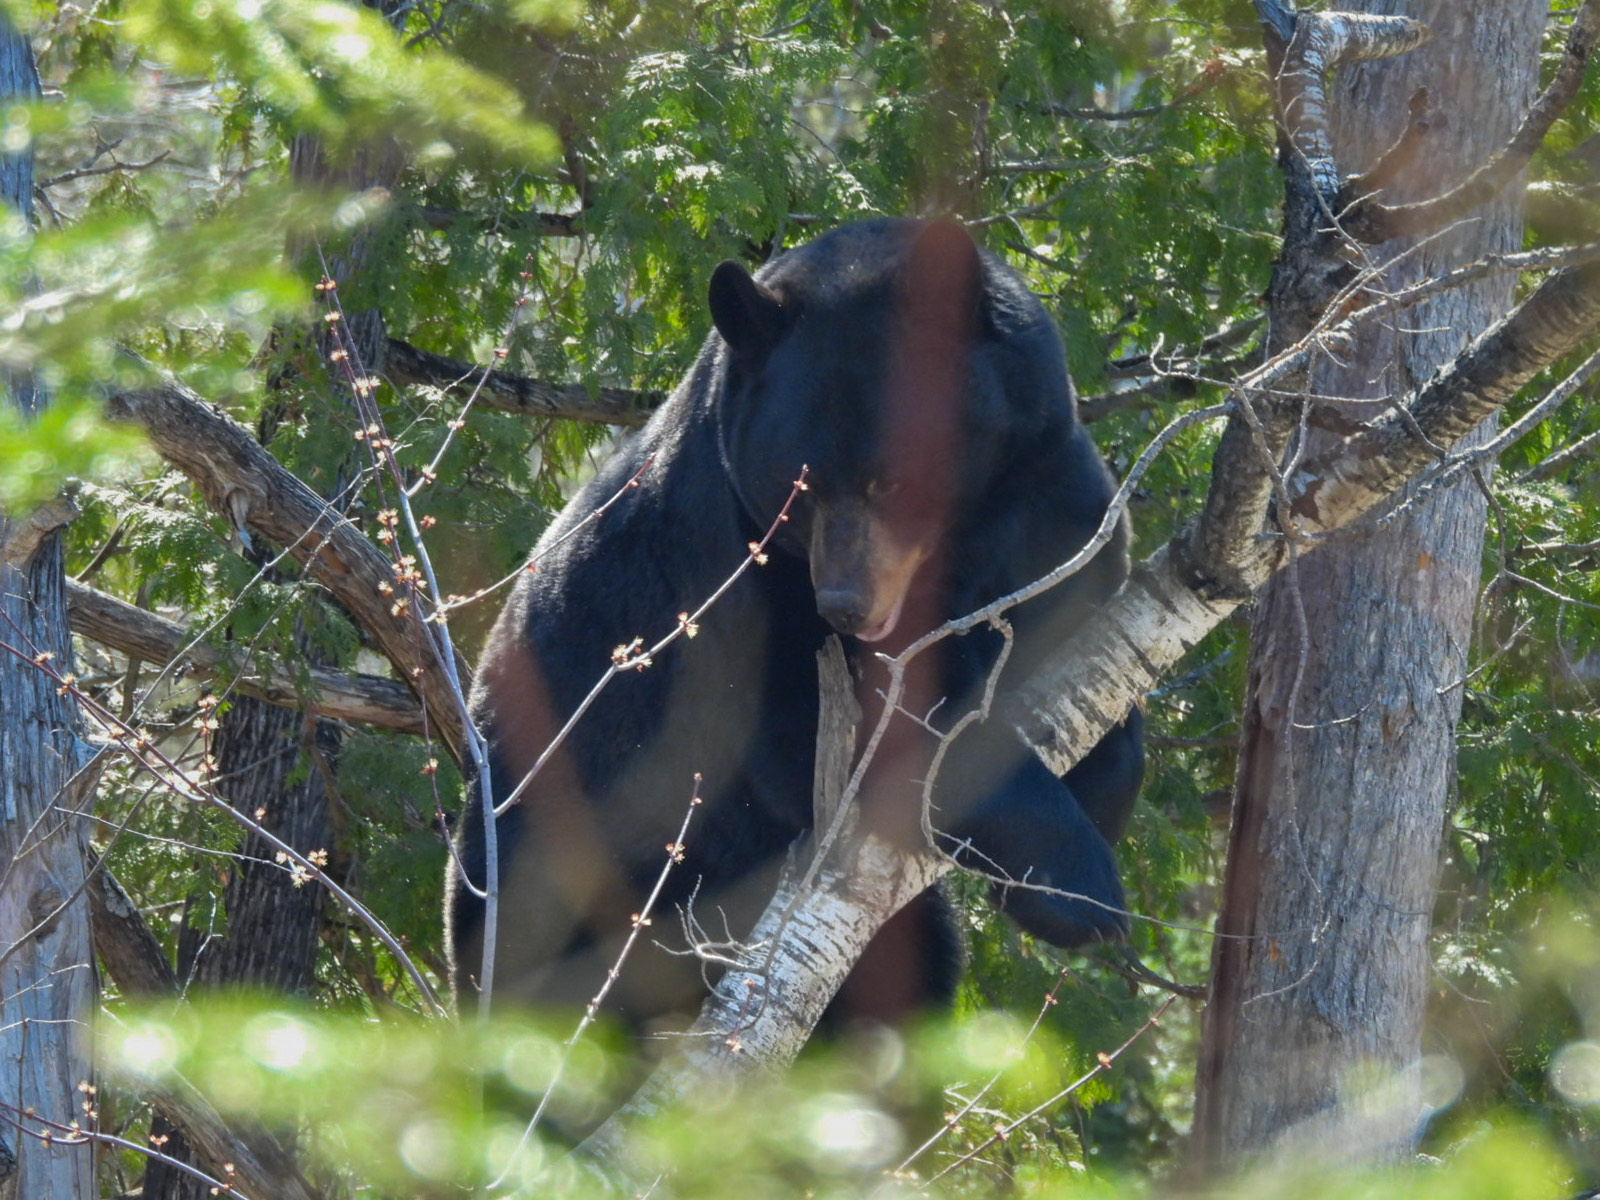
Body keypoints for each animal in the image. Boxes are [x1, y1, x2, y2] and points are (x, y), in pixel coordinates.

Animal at [447, 217, 1143, 1030]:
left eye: (888, 482)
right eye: (797, 489)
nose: (843, 604)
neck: (961, 542)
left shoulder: (1047, 496)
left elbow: (1082, 633)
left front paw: (1102, 790)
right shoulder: (732, 576)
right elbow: (852, 729)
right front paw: (1077, 889)